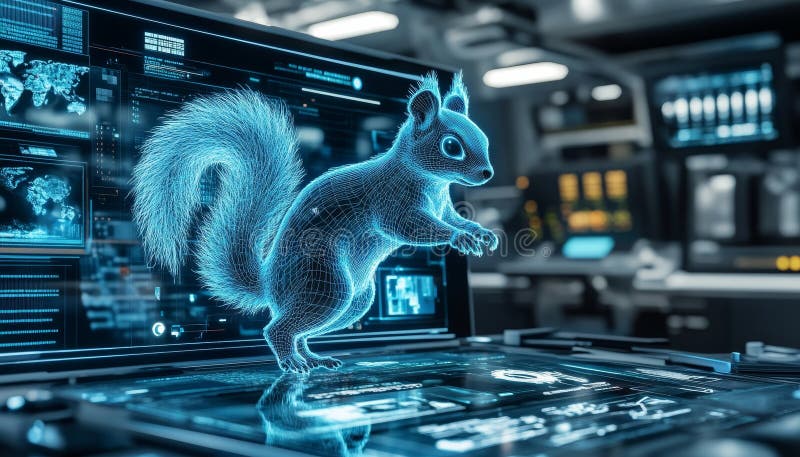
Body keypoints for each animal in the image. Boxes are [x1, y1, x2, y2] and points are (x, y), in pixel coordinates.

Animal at [131, 72, 497, 373]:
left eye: (485, 139)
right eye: (451, 146)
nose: (487, 173)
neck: (431, 181)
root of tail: (269, 283)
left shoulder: (442, 205)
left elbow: (452, 218)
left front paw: (479, 233)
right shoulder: (391, 201)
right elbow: (410, 227)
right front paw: (459, 238)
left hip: (353, 301)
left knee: (299, 332)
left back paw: (313, 358)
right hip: (324, 284)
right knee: (277, 328)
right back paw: (293, 362)